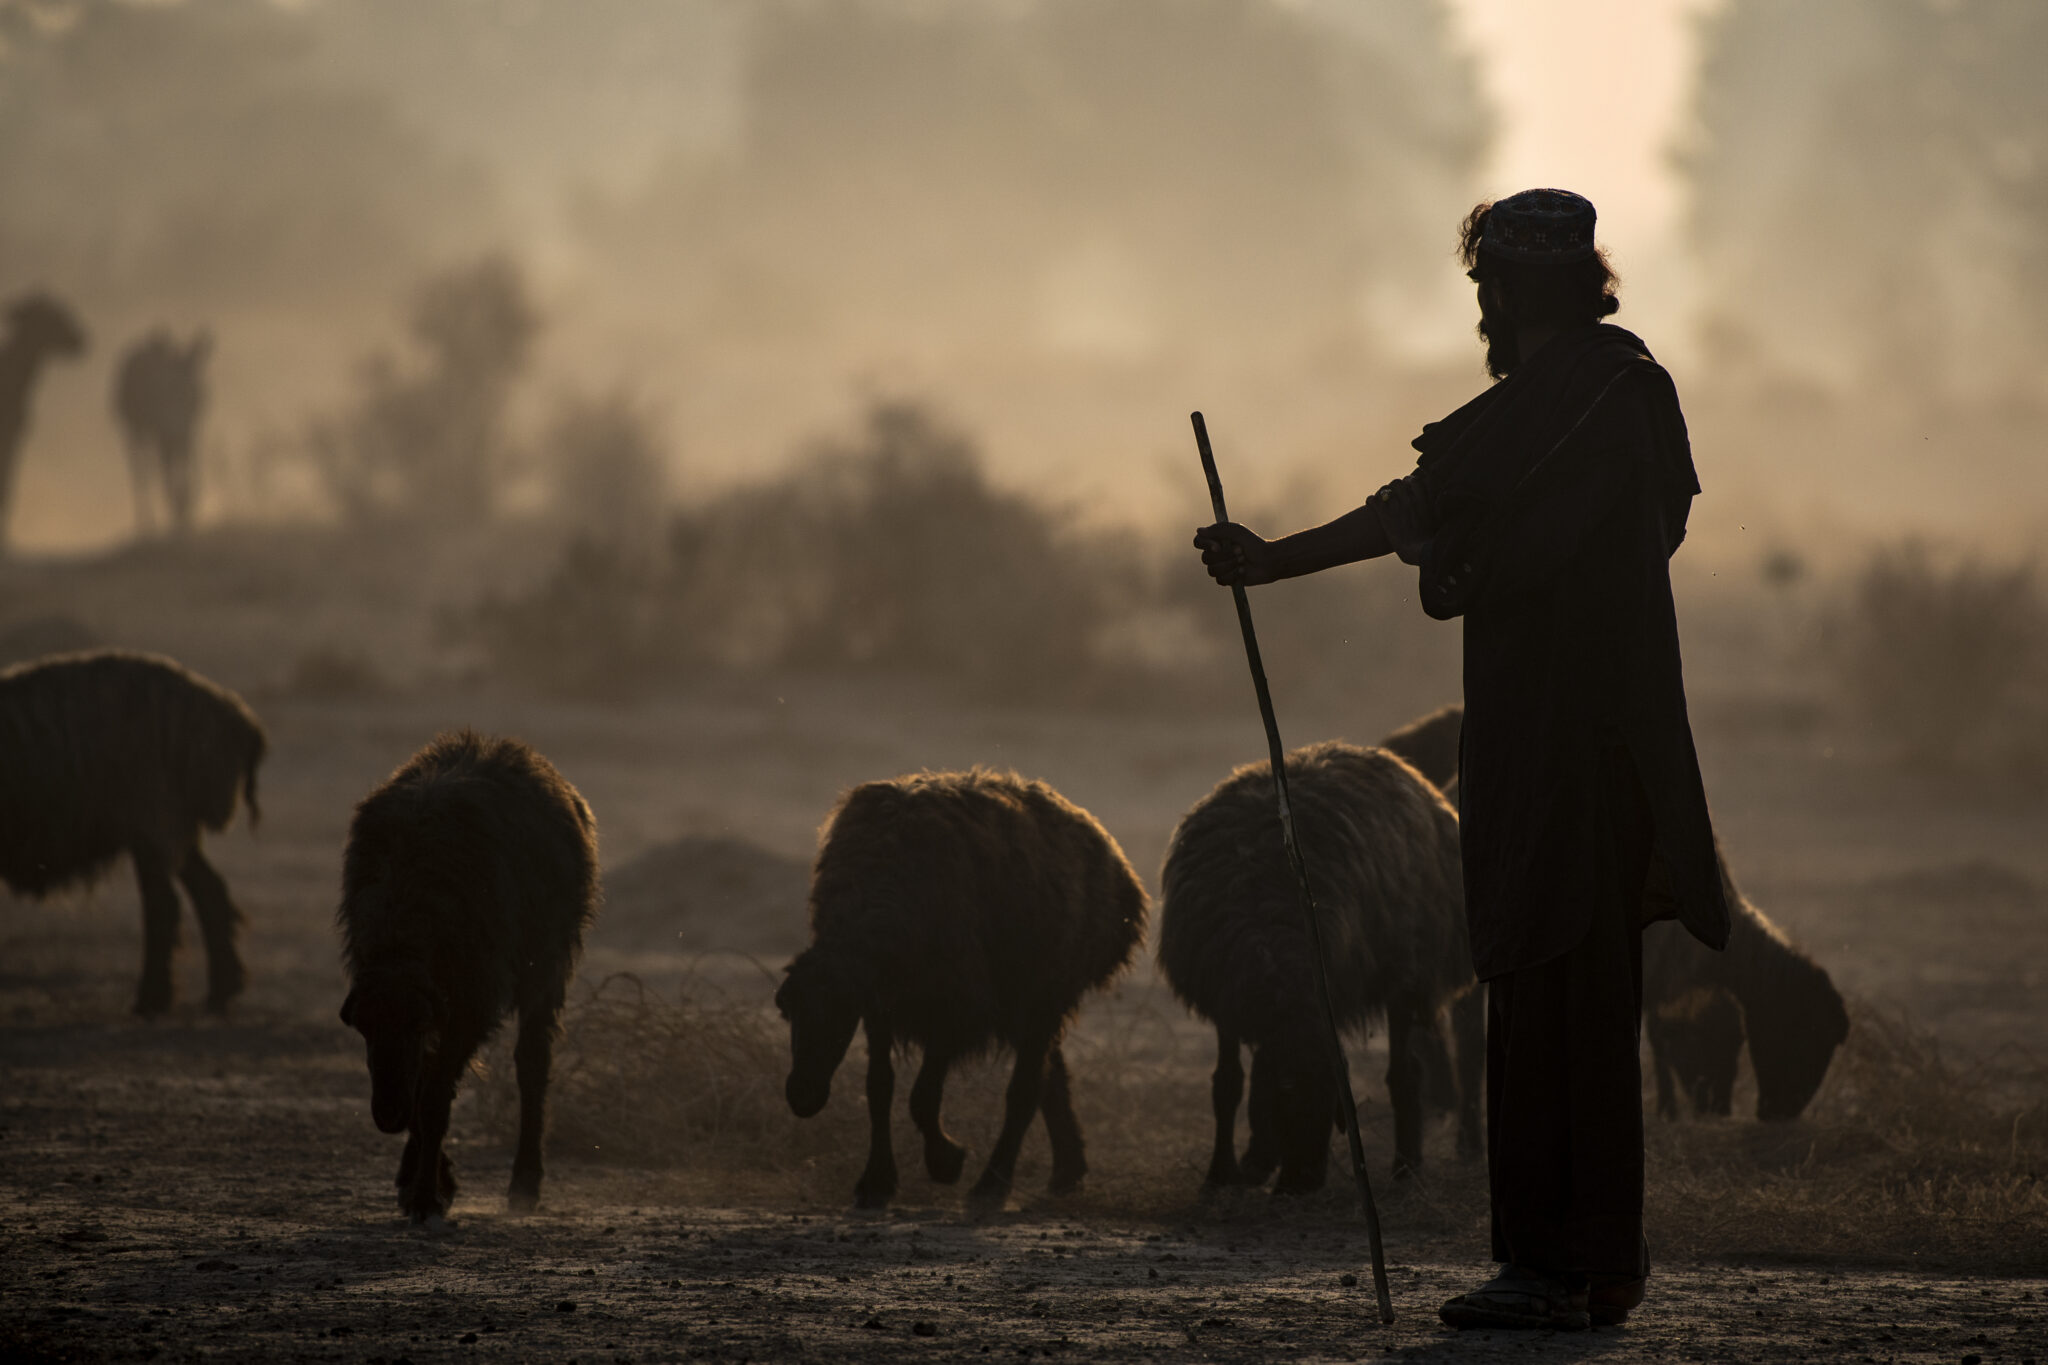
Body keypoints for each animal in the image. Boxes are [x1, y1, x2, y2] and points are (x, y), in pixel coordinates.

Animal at [0, 649, 264, 1015]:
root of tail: (234, 715)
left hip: (152, 817)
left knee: (164, 904)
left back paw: (153, 998)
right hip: (172, 825)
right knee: (208, 889)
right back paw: (220, 989)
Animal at [337, 731, 599, 1224]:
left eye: (415, 1023)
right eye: (362, 1028)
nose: (387, 1115)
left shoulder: (469, 1005)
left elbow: (434, 1098)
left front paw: (426, 1197)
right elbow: (424, 1086)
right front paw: (424, 1181)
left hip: (547, 967)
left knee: (532, 1063)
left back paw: (525, 1182)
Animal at [775, 768, 1147, 1211]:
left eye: (838, 1018)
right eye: (788, 1012)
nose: (802, 1096)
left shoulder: (955, 1006)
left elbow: (921, 1098)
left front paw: (946, 1161)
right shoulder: (882, 1006)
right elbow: (879, 1087)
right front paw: (876, 1181)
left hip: (1047, 990)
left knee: (1024, 1090)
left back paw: (992, 1185)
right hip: (1025, 1002)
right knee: (1049, 1077)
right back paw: (1066, 1171)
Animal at [1158, 741, 1477, 1192]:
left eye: (1330, 1109)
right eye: (1285, 1104)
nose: (1300, 1186)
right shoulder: (1226, 1001)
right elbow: (1228, 1085)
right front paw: (1221, 1173)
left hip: (1406, 972)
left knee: (1405, 1073)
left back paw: (1406, 1165)